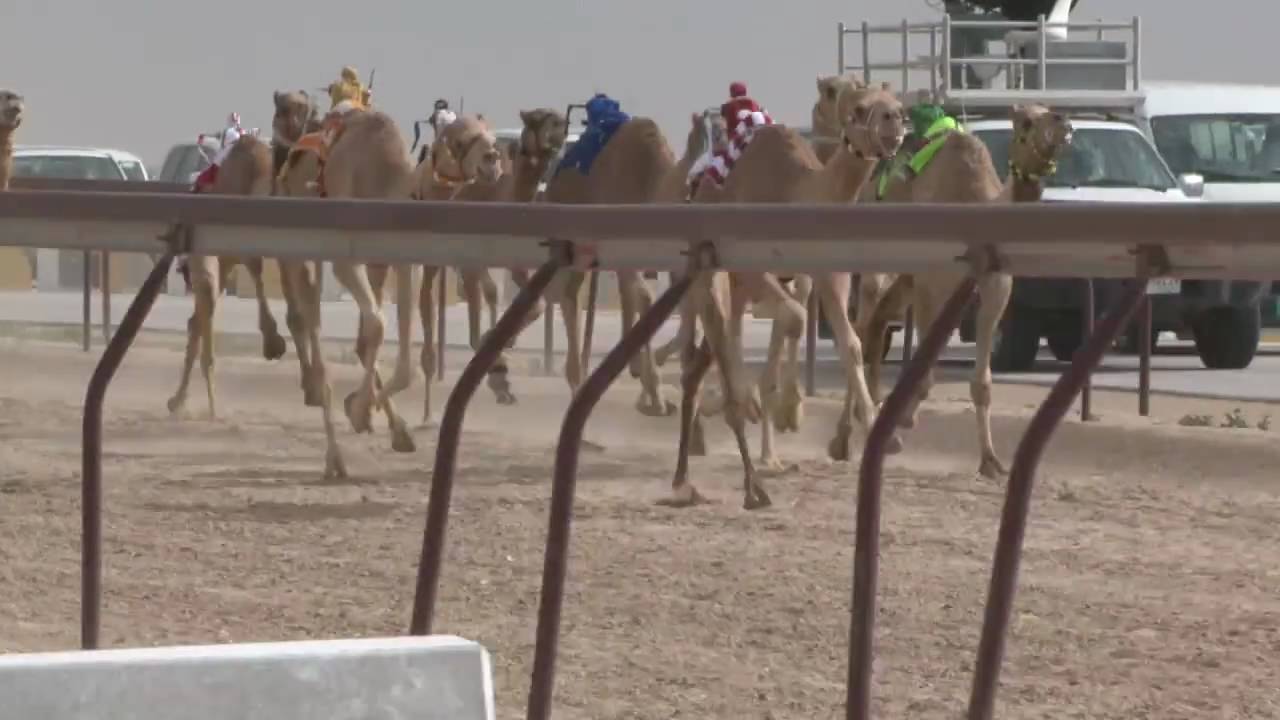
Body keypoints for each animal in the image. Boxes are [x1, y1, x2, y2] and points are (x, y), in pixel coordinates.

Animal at [663, 80, 907, 510]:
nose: (894, 121)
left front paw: (878, 429)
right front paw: (784, 410)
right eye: (861, 108)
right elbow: (794, 316)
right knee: (709, 345)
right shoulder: (752, 266)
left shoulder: (824, 274)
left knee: (711, 353)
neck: (798, 190)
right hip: (707, 273)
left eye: (897, 103)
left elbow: (851, 343)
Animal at [860, 102, 1073, 478]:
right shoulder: (931, 284)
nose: (1063, 123)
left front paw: (990, 461)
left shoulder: (994, 288)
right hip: (879, 263)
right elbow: (925, 374)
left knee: (877, 326)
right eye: (1026, 121)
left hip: (905, 283)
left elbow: (982, 383)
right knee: (861, 323)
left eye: (1050, 111)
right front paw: (902, 422)